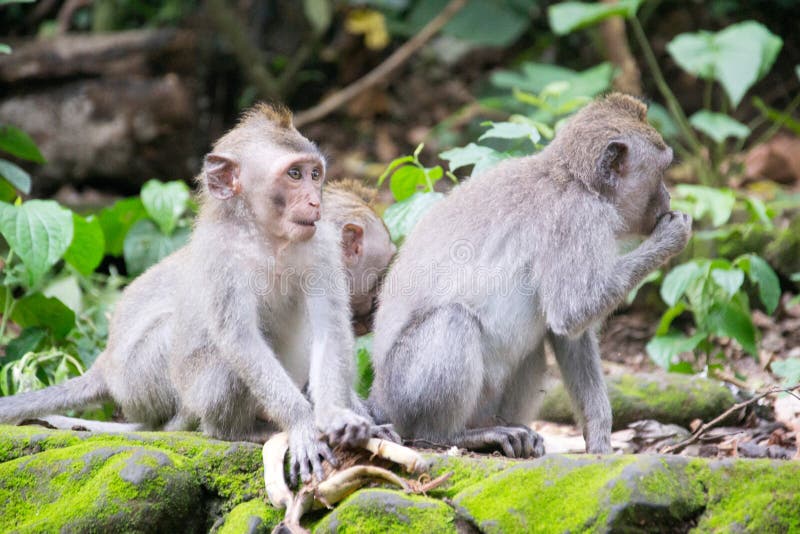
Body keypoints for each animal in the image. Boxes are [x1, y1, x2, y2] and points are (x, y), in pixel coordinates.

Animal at [0, 103, 384, 484]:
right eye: (294, 174)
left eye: (315, 174)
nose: (314, 202)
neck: (267, 237)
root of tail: (105, 366)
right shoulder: (219, 255)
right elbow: (240, 340)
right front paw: (302, 423)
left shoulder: (321, 245)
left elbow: (329, 330)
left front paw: (334, 415)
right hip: (165, 385)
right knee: (222, 357)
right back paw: (234, 430)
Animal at [368, 93, 692, 458]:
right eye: (662, 171)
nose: (668, 195)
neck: (577, 181)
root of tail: (377, 397)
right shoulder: (578, 218)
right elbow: (572, 311)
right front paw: (670, 237)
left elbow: (567, 335)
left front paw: (599, 437)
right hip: (402, 393)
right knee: (453, 320)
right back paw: (452, 436)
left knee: (532, 346)